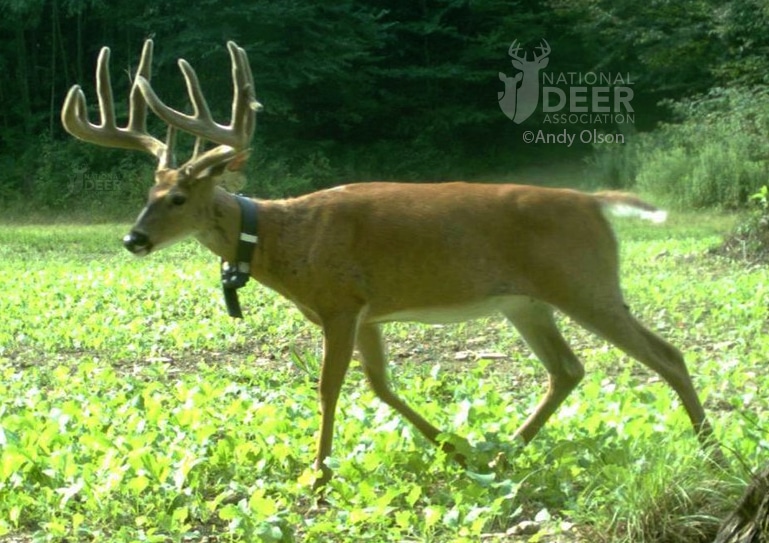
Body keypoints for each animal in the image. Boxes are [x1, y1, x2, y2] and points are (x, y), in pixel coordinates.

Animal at [61, 40, 722, 490]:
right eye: (147, 192)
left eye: (177, 198)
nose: (133, 239)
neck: (285, 240)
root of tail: (594, 202)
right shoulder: (368, 311)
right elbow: (381, 385)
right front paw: (455, 450)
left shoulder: (340, 302)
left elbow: (330, 388)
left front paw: (318, 475)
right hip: (527, 302)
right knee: (568, 369)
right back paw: (503, 452)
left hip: (584, 282)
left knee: (666, 354)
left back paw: (712, 452)